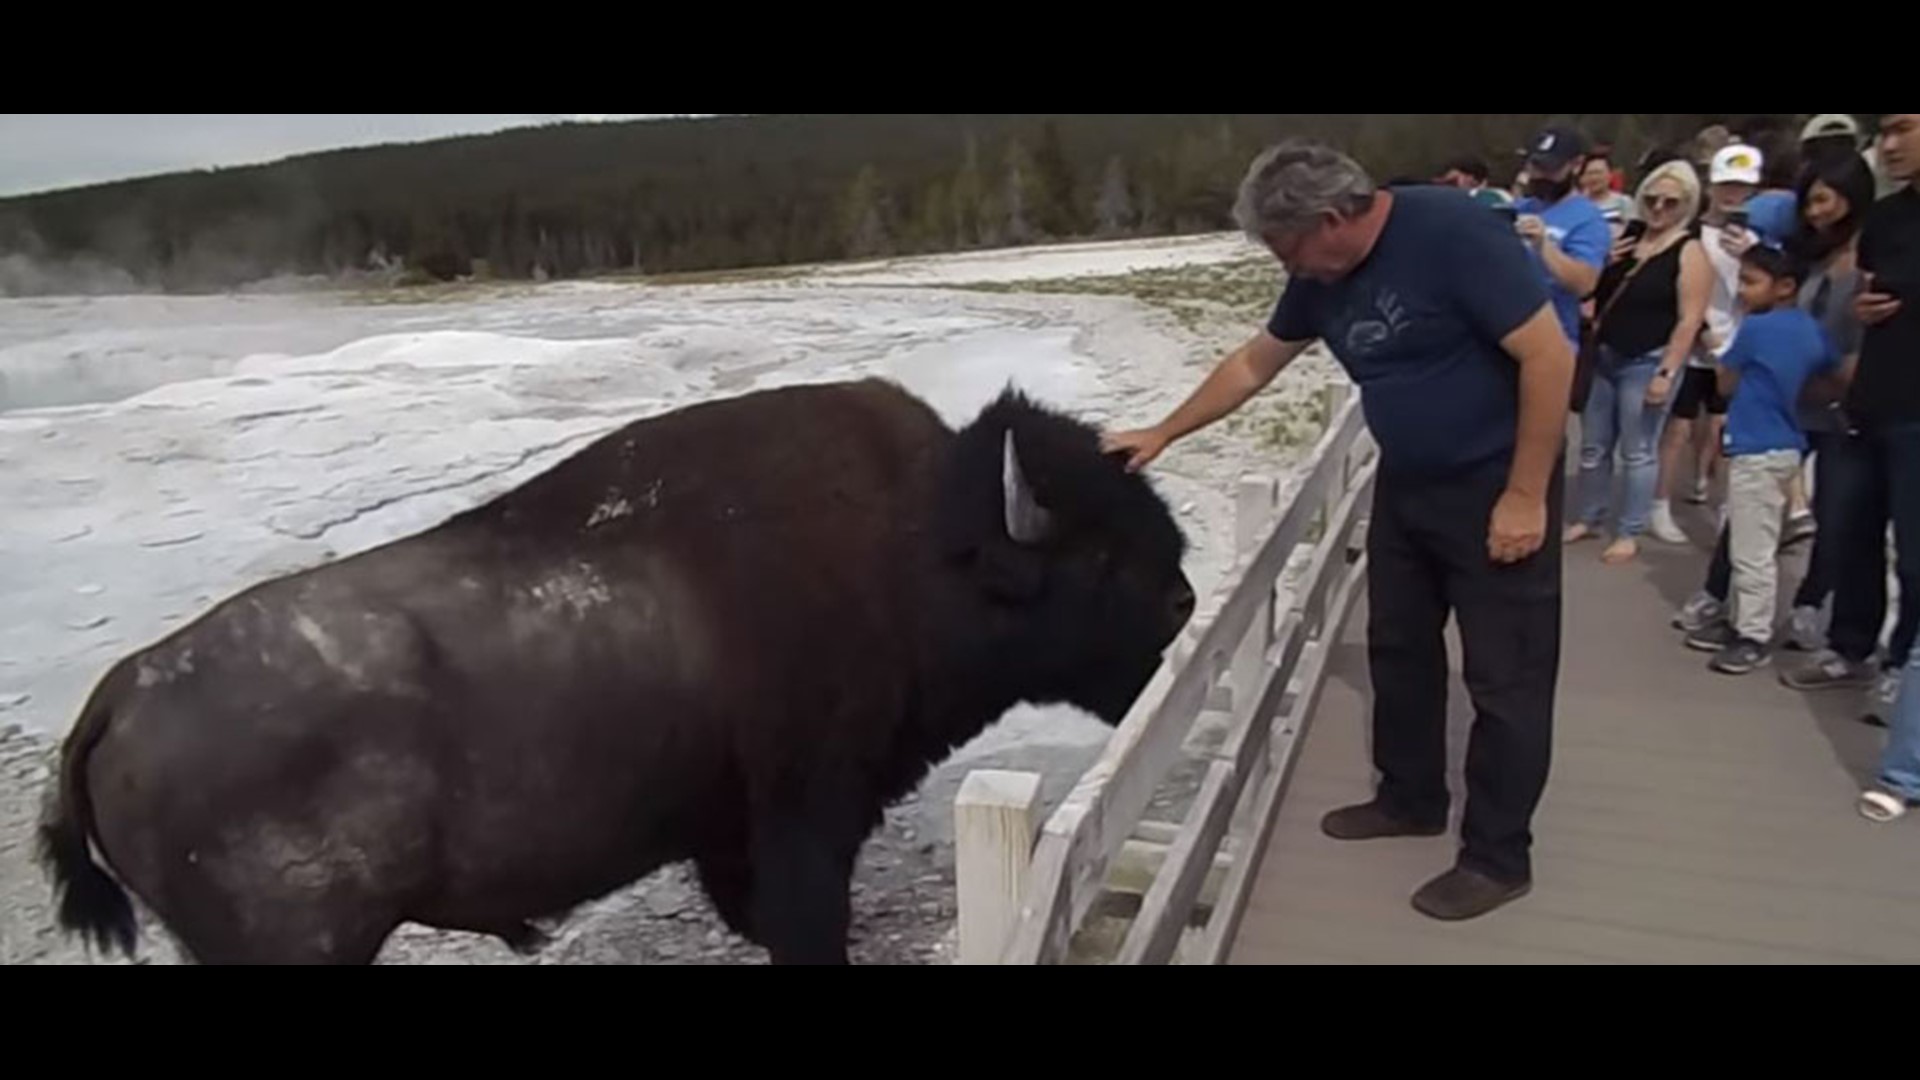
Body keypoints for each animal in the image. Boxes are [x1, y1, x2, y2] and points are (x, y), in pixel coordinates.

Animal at [39, 378, 1194, 964]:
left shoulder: (732, 834)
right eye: (1097, 557)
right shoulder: (801, 816)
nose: (1187, 602)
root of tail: (118, 694)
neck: (913, 545)